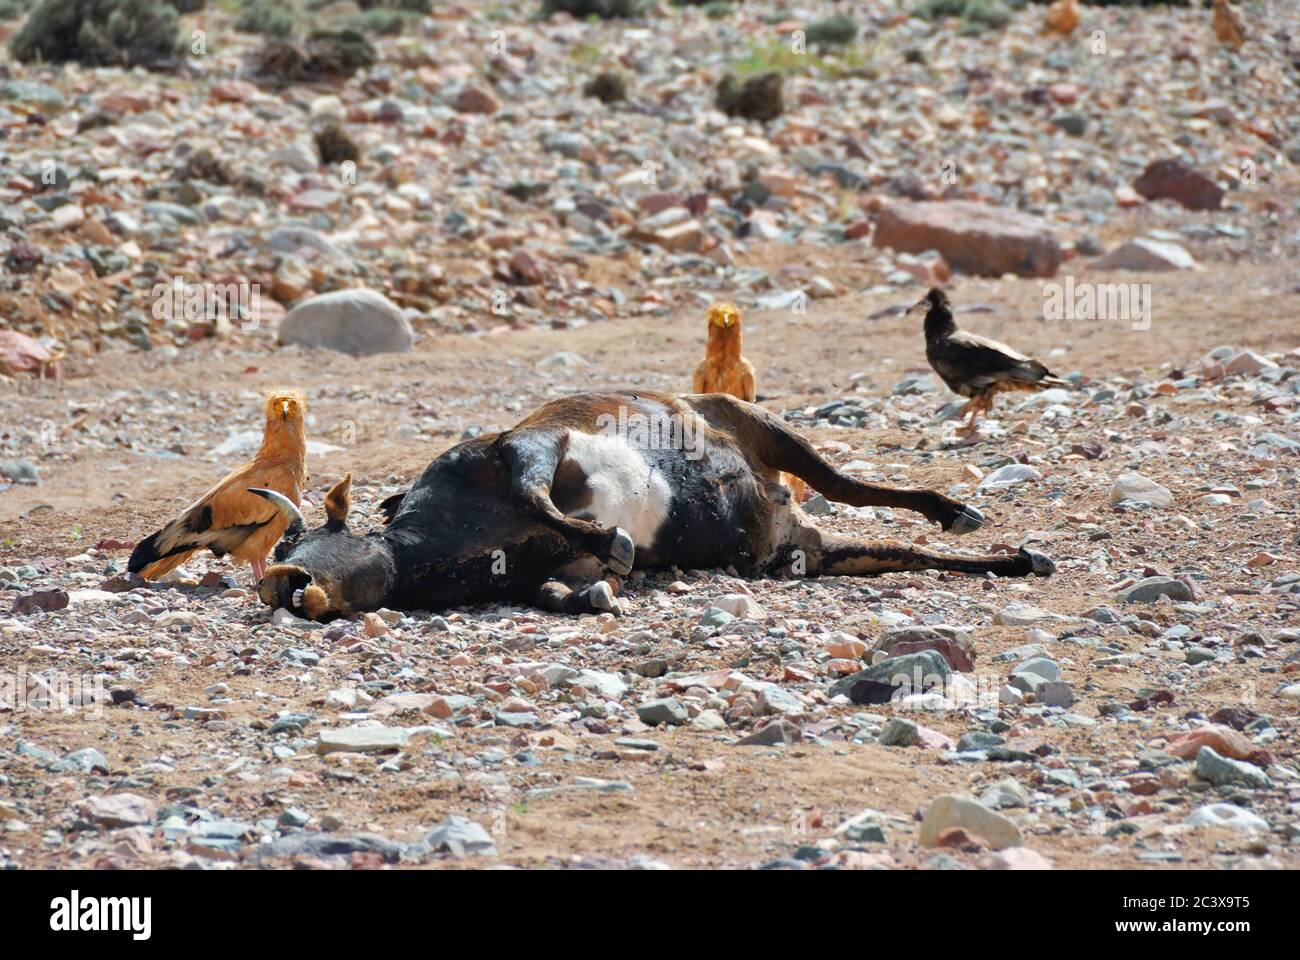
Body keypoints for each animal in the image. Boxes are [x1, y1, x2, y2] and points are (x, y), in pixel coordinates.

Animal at [250, 391, 1054, 621]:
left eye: (291, 544)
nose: (282, 586)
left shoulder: (519, 449)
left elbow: (538, 494)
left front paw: (614, 540)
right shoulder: (543, 565)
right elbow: (559, 588)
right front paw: (597, 590)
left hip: (768, 429)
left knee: (849, 485)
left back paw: (957, 511)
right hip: (804, 555)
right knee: (897, 552)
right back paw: (1015, 561)